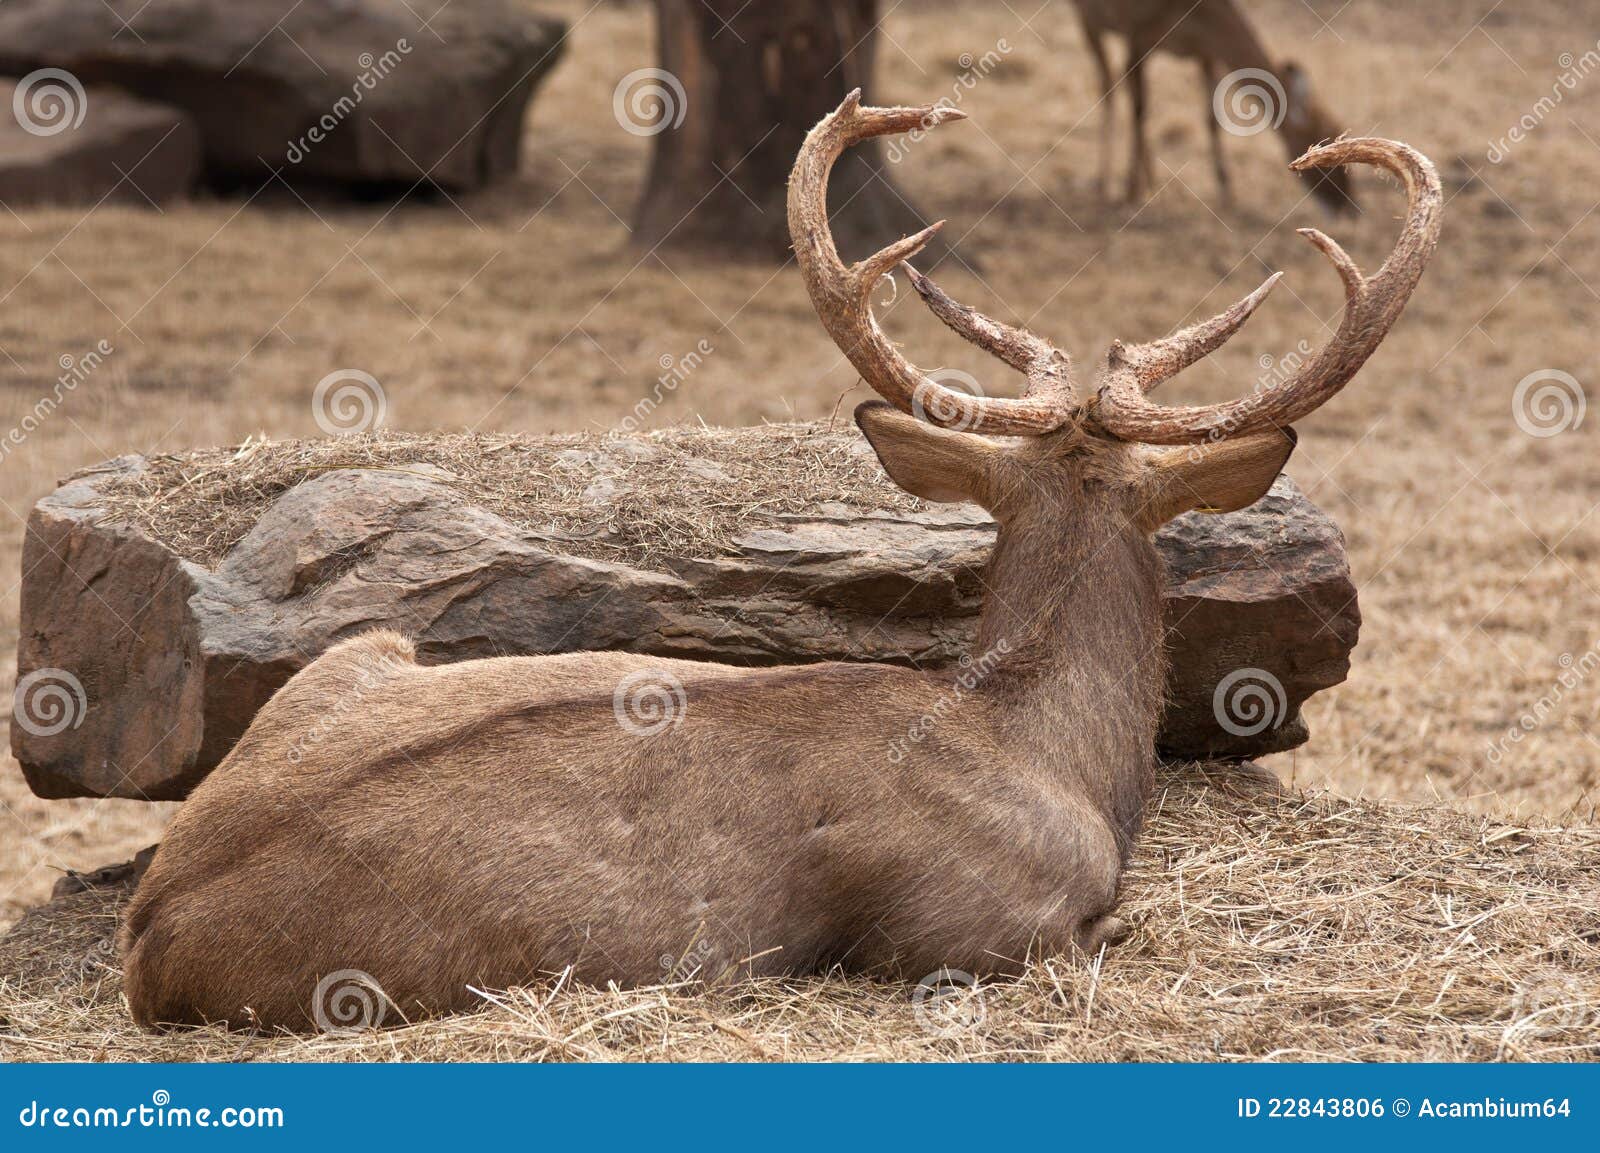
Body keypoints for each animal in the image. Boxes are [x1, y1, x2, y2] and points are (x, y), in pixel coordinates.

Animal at [1073, 0, 1356, 212]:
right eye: (1320, 141)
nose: (1349, 207)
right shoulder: (1138, 39)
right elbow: (1139, 109)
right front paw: (1130, 192)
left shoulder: (1205, 56)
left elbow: (1211, 119)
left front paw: (1227, 193)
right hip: (1089, 22)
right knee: (1108, 86)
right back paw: (1104, 183)